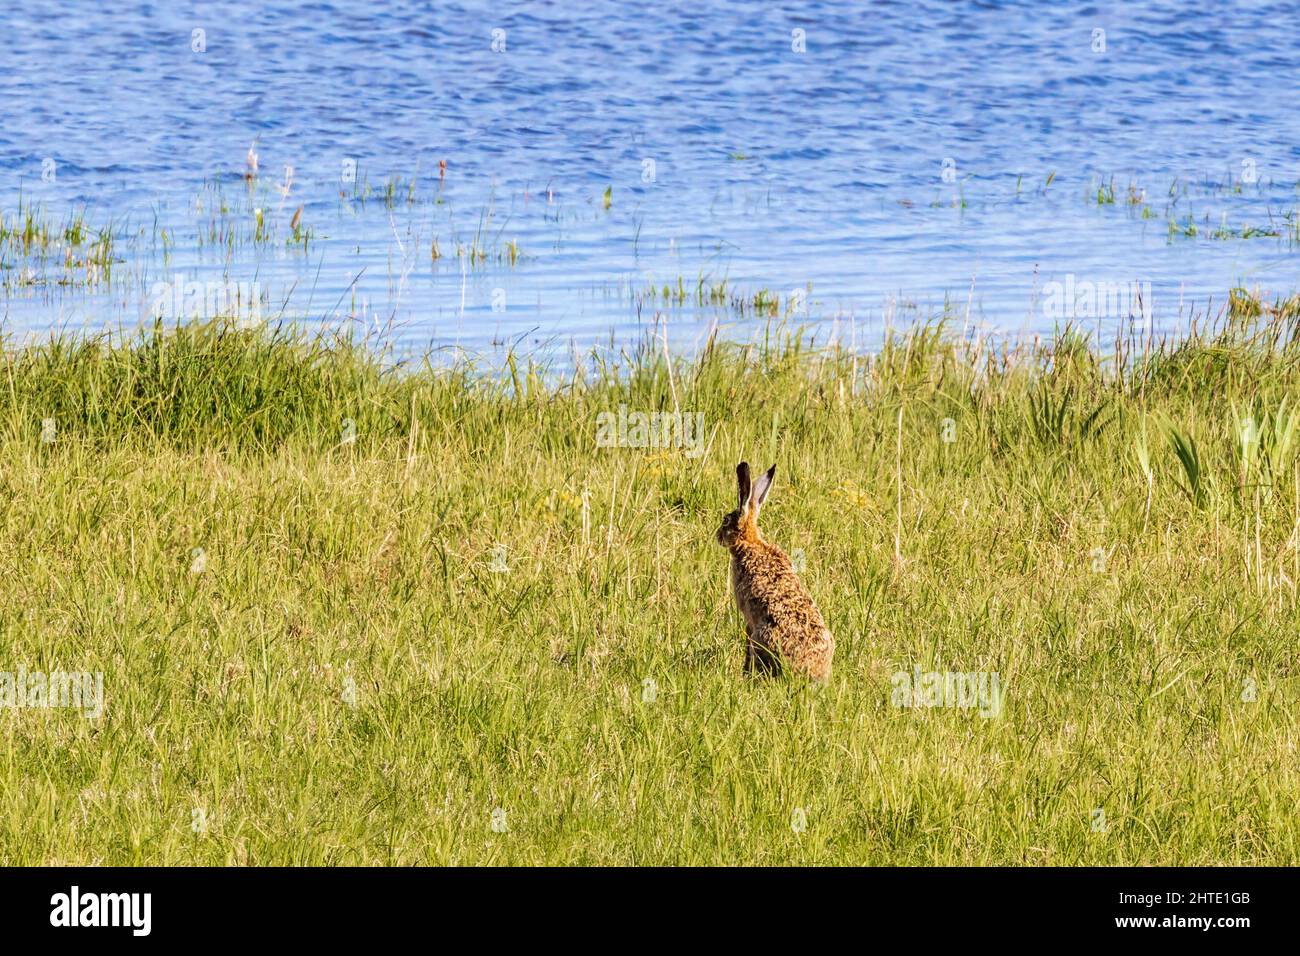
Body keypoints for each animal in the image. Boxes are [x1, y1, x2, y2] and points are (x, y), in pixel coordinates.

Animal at [716, 461, 834, 683]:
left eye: (726, 521)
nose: (718, 536)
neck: (749, 542)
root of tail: (811, 671)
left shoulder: (748, 618)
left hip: (762, 638)